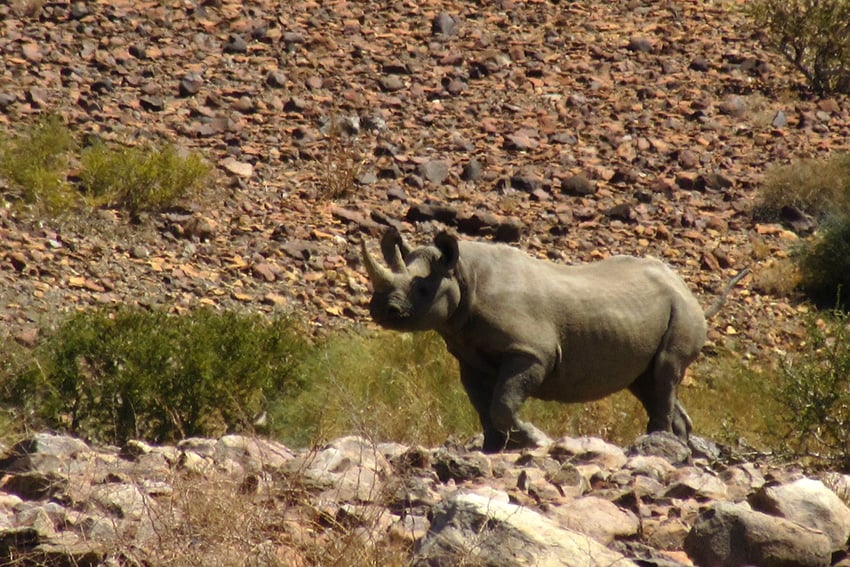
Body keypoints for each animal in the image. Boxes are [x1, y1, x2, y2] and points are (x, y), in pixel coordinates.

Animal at [361, 229, 745, 453]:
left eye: (423, 290)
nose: (381, 309)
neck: (463, 273)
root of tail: (687, 289)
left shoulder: (531, 351)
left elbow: (502, 402)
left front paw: (532, 438)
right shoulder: (469, 355)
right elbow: (483, 407)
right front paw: (492, 450)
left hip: (681, 311)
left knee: (666, 371)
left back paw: (655, 447)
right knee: (648, 381)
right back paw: (674, 450)